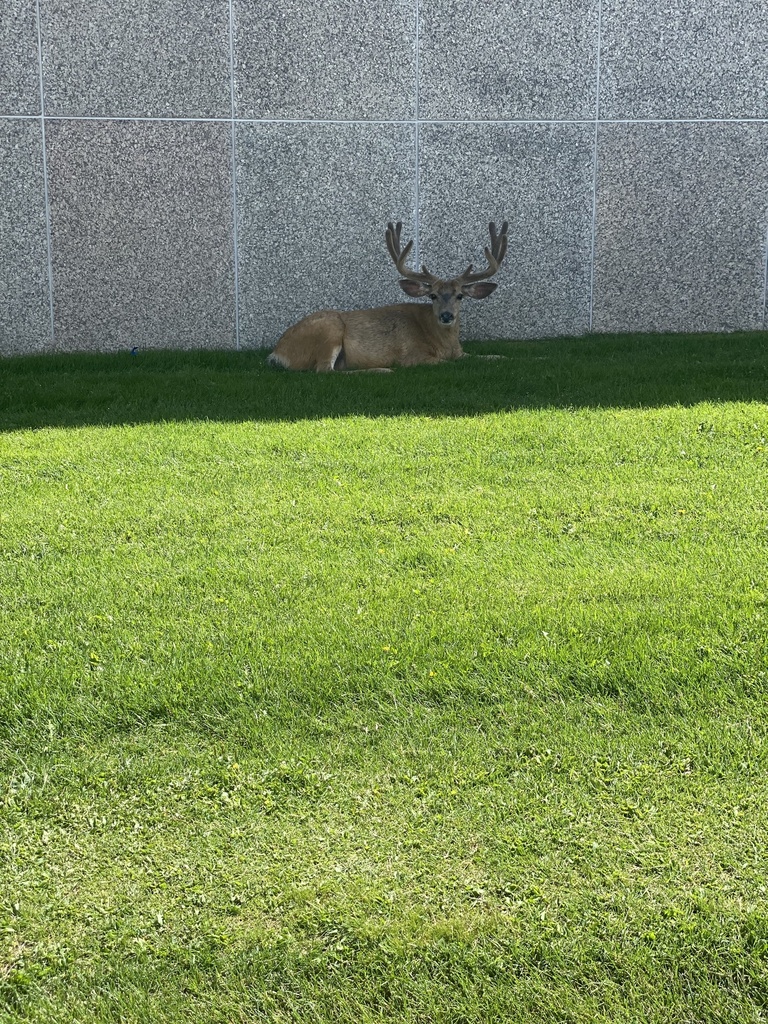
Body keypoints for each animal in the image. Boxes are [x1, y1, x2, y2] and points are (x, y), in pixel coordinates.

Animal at [267, 221, 508, 372]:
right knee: (324, 370)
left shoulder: (461, 352)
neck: (444, 343)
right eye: (432, 295)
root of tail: (278, 352)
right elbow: (447, 364)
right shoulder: (413, 356)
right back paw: (382, 369)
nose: (447, 316)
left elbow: (493, 357)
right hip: (328, 329)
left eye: (460, 296)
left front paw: (503, 357)